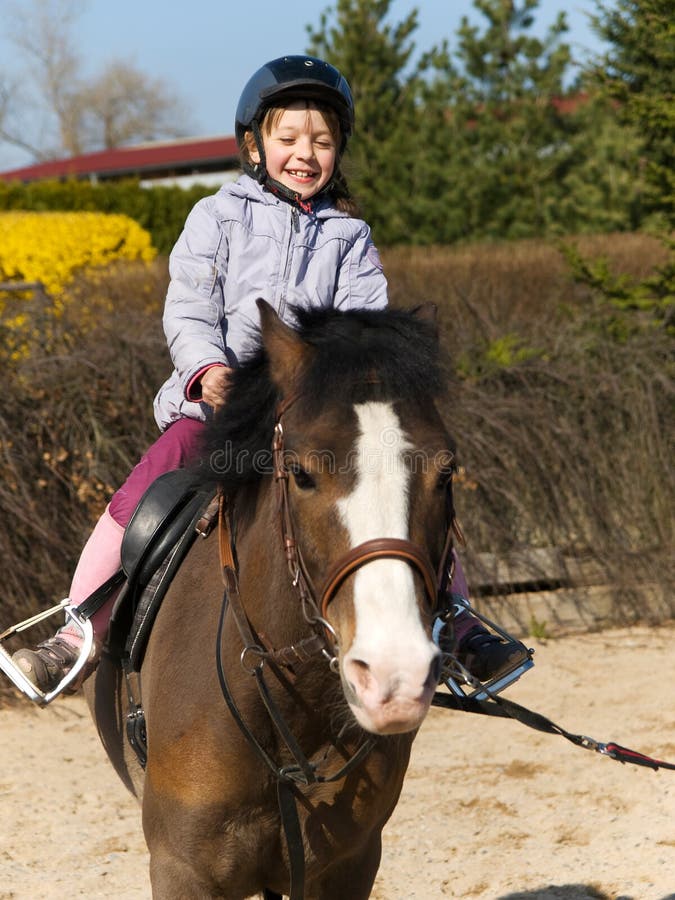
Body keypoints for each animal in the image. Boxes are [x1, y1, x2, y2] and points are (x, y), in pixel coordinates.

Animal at [86, 300, 458, 899]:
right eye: (301, 474)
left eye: (447, 472)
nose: (393, 676)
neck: (285, 706)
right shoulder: (181, 870)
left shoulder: (349, 864)